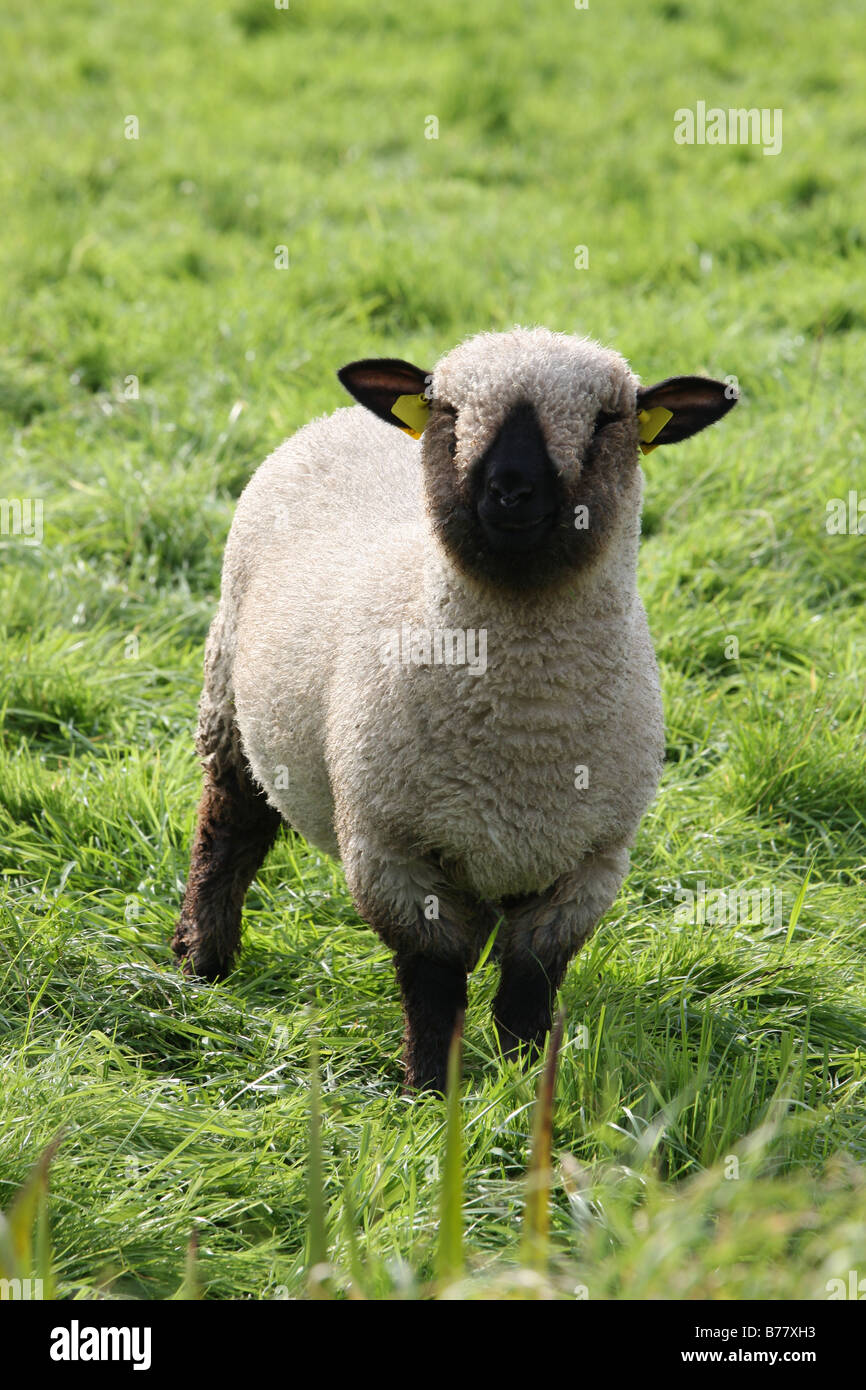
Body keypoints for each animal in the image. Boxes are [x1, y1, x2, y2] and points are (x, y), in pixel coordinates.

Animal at [172, 326, 737, 1091]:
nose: (511, 488)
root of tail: (342, 417)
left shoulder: (588, 867)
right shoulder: (391, 853)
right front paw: (428, 1089)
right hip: (227, 697)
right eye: (447, 411)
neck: (524, 724)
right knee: (229, 829)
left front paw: (526, 1079)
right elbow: (434, 982)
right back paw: (202, 961)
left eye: (606, 421)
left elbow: (529, 983)